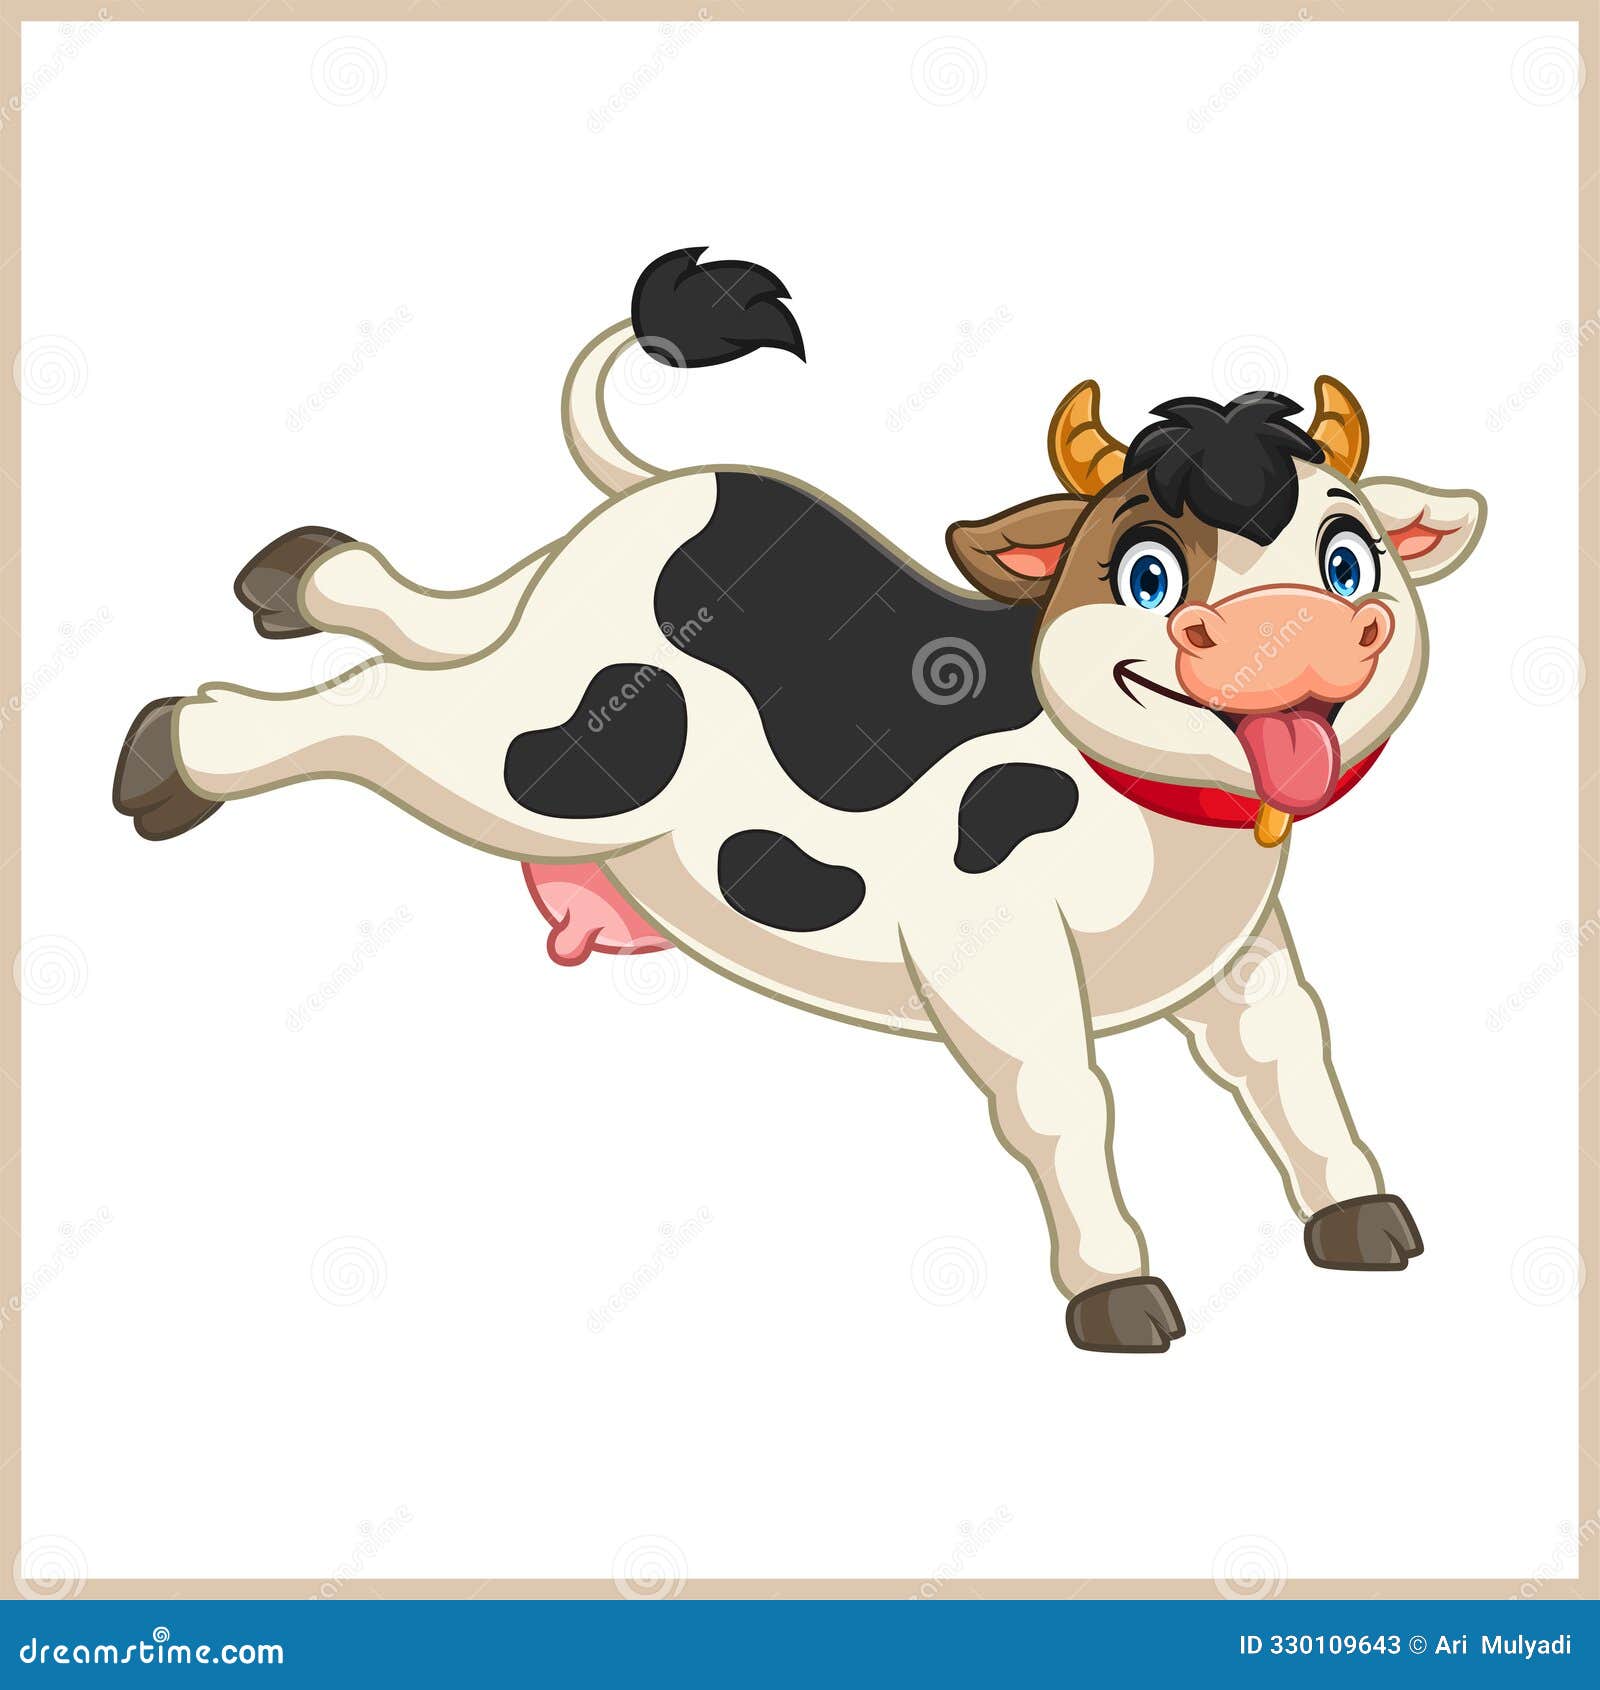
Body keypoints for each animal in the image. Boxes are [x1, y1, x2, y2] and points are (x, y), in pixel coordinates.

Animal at [113, 249, 1486, 1352]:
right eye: (1145, 571)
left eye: (1346, 555)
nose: (1298, 627)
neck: (1157, 824)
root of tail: (668, 489)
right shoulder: (992, 955)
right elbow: (1062, 1100)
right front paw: (1121, 1304)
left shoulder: (1242, 955)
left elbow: (1295, 1061)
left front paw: (1369, 1225)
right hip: (558, 758)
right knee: (387, 713)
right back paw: (167, 759)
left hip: (541, 636)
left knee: (429, 621)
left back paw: (291, 573)